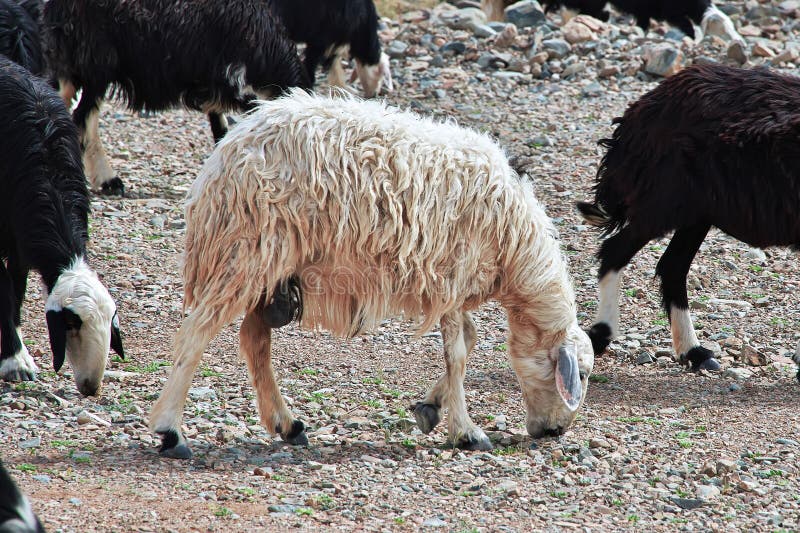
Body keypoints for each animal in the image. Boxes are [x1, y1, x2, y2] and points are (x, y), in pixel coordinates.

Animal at [0, 56, 123, 395]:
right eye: (69, 324)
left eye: (110, 324)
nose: (91, 387)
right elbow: (5, 289)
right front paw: (15, 360)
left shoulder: (20, 238)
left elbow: (17, 288)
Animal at [42, 0, 309, 196]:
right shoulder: (230, 81)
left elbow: (220, 129)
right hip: (96, 59)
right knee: (81, 118)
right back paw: (107, 179)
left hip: (76, 62)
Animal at [149, 89, 595, 459]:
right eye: (582, 373)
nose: (555, 432)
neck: (515, 247)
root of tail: (223, 154)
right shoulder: (452, 274)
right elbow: (458, 353)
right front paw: (467, 431)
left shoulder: (454, 286)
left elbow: (466, 342)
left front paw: (431, 408)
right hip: (247, 249)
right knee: (197, 333)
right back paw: (171, 432)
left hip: (270, 265)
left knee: (253, 337)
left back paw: (287, 425)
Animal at [577, 63, 800, 375]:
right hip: (665, 199)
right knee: (615, 251)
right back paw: (602, 333)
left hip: (696, 211)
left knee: (671, 266)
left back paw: (693, 352)